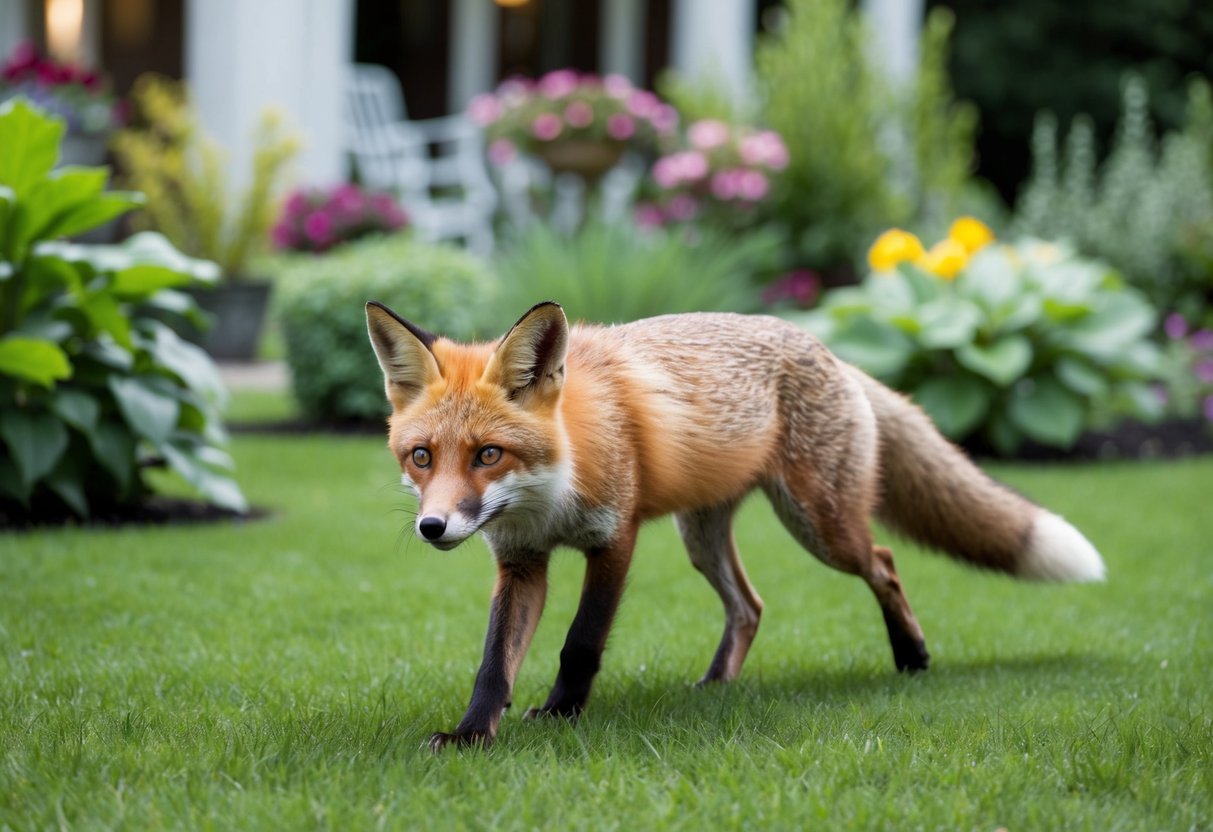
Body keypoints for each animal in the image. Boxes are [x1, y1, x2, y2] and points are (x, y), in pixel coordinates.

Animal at [365, 300, 1105, 750]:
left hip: (821, 526)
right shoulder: (521, 562)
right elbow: (494, 662)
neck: (554, 485)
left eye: (488, 454)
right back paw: (718, 684)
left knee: (885, 563)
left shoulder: (615, 539)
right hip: (702, 537)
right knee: (750, 605)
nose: (433, 527)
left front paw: (561, 714)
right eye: (422, 456)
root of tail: (832, 352)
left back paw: (911, 656)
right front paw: (471, 734)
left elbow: (580, 643)